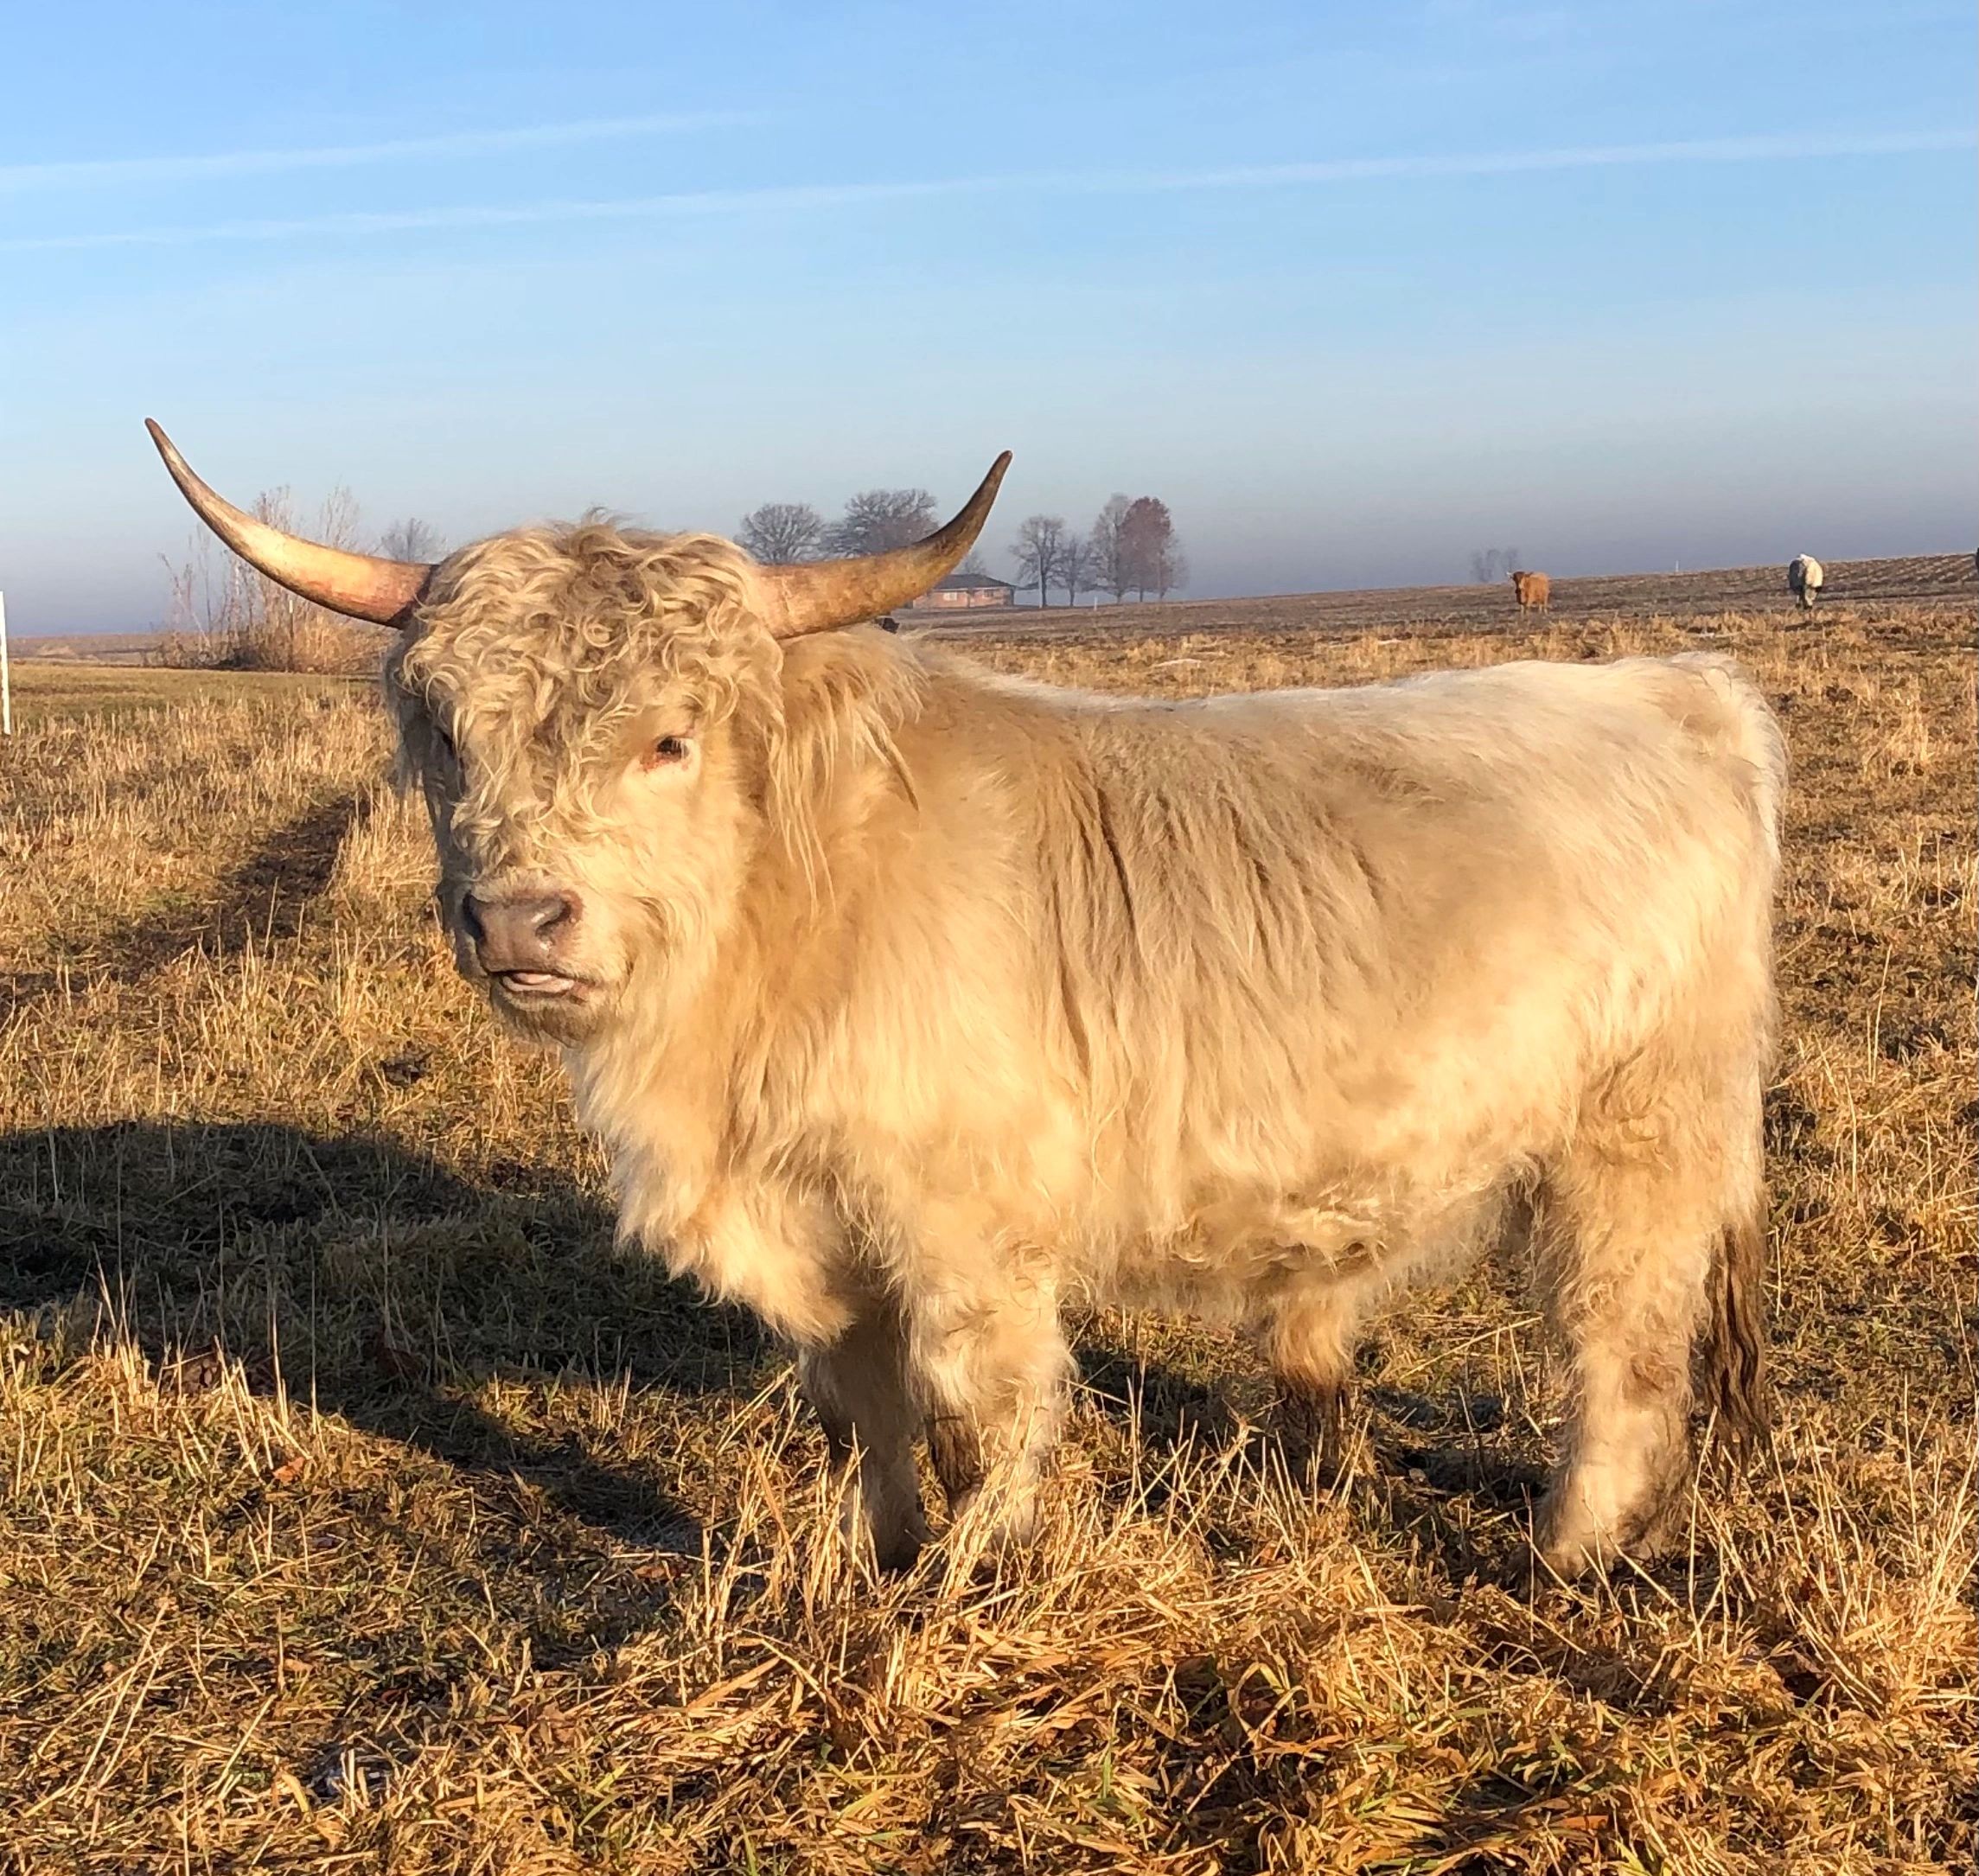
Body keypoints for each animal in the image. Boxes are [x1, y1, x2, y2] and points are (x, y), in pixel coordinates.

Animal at [150, 417, 1781, 1575]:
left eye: (670, 738)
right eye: (441, 730)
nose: (518, 918)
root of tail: (1676, 689)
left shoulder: (967, 1224)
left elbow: (981, 1409)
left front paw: (976, 1575)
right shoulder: (814, 1234)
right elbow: (859, 1402)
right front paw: (875, 1556)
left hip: (1635, 1144)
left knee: (1620, 1348)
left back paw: (1569, 1550)